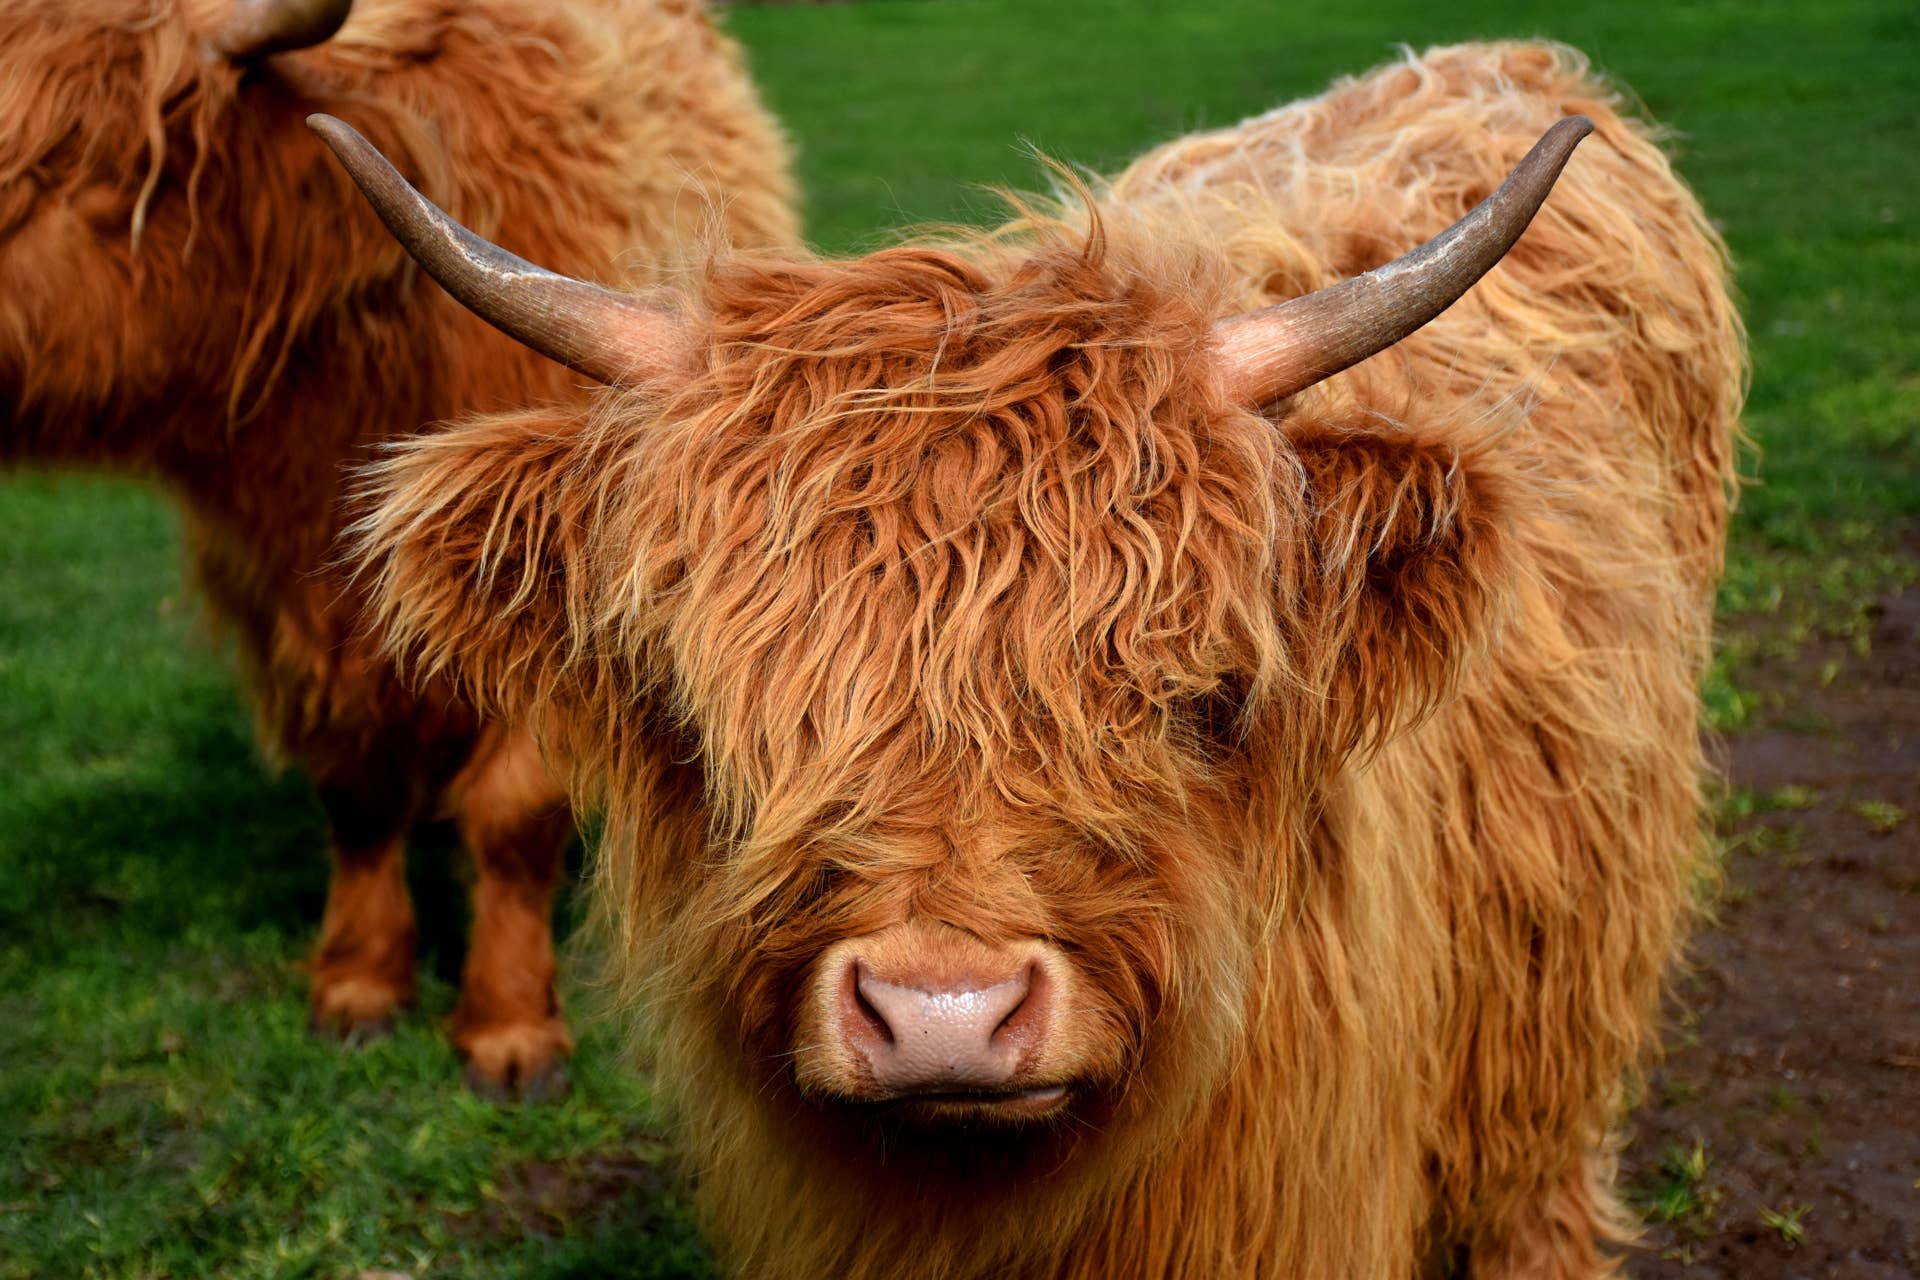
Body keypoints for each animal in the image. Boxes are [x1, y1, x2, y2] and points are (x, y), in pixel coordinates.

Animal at [0, 0, 798, 1096]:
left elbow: (512, 817)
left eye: (93, 161)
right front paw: (358, 983)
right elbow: (358, 792)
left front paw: (509, 1030)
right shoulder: (289, 611)